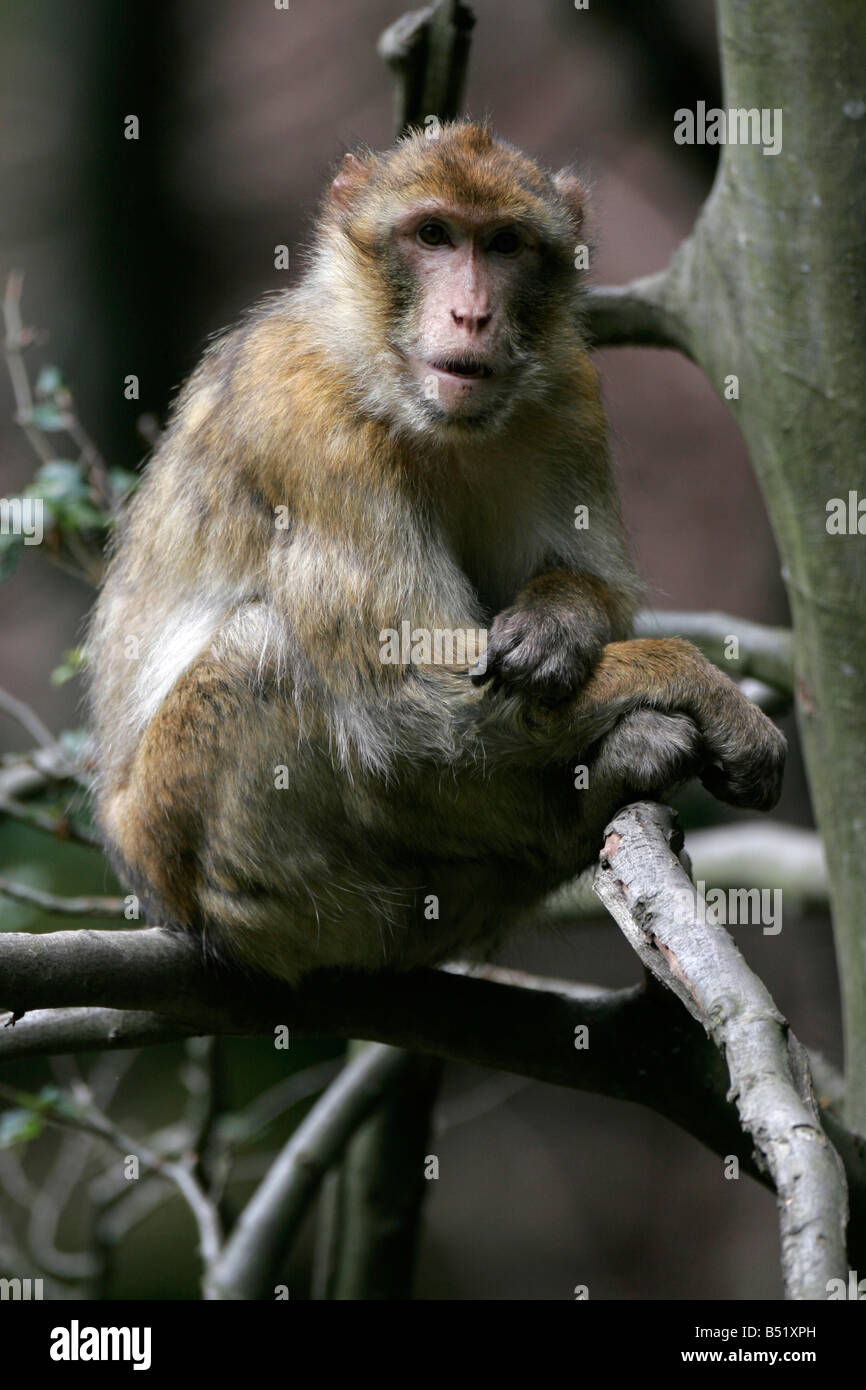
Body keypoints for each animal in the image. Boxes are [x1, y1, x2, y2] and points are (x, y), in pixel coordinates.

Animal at [88, 121, 786, 984]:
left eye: (505, 243)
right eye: (432, 235)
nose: (472, 314)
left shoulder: (570, 396)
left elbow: (599, 590)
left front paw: (559, 624)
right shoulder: (307, 419)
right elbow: (412, 698)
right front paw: (706, 686)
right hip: (181, 840)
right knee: (261, 653)